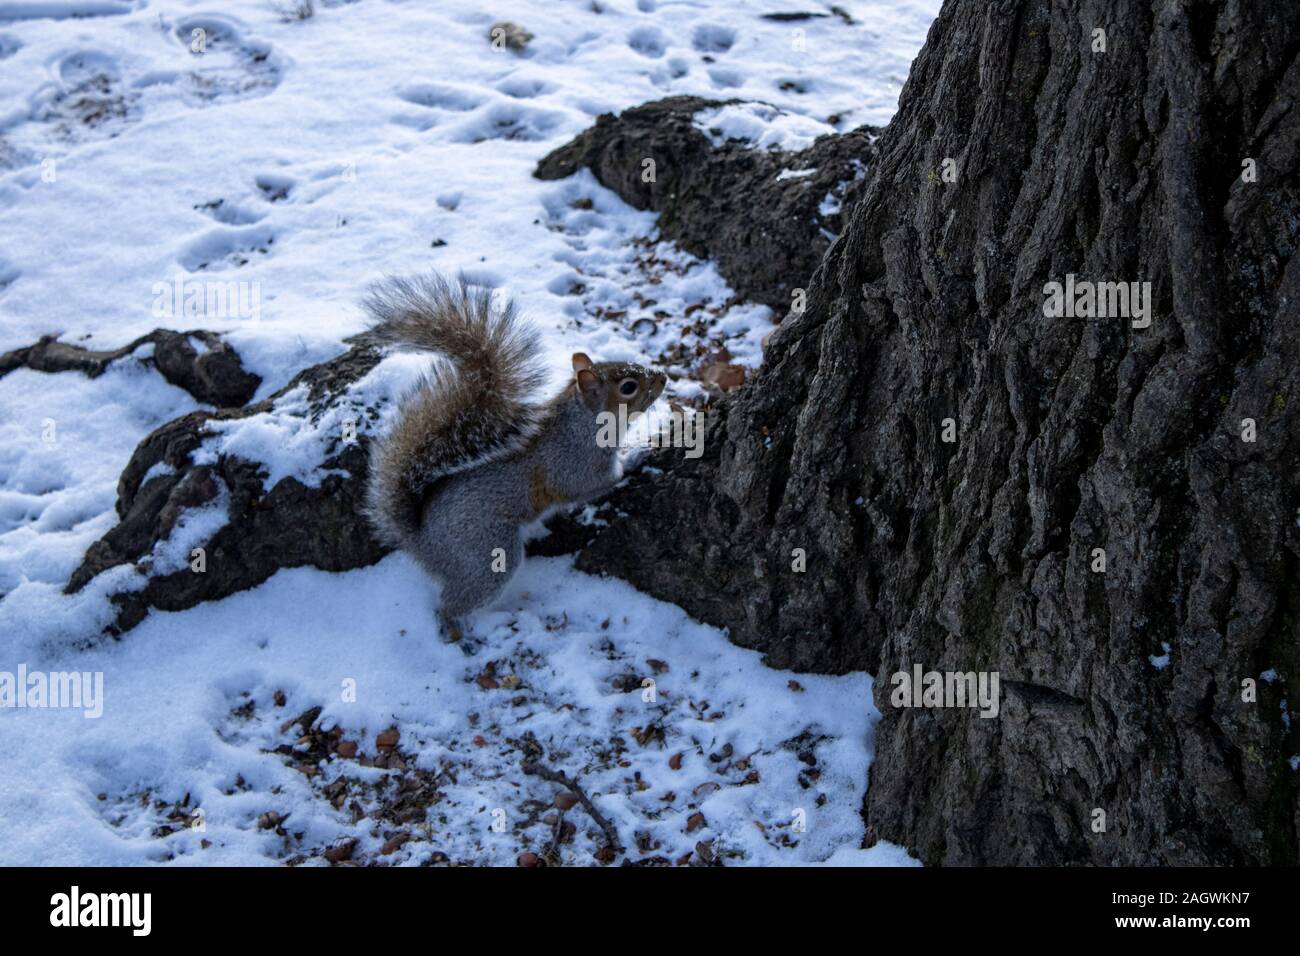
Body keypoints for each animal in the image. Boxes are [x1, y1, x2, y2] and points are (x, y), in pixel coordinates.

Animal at [363, 273, 666, 640]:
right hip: (487, 553)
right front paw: (636, 458)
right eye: (628, 387)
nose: (663, 377)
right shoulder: (573, 466)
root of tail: (421, 542)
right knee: (453, 602)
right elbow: (596, 484)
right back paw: (459, 632)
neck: (583, 425)